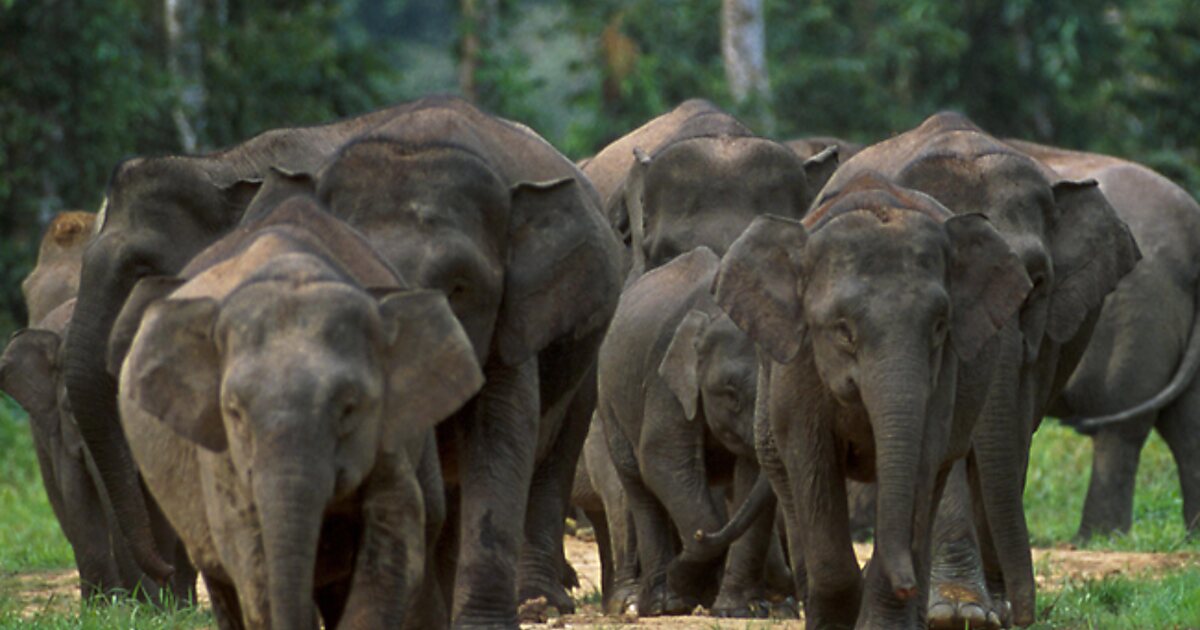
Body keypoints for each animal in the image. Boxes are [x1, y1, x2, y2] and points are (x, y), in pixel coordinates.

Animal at [112, 192, 484, 629]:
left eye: (350, 408)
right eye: (234, 411)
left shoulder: (388, 435)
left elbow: (393, 544)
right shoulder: (219, 452)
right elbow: (252, 561)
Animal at [596, 246, 796, 617]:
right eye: (730, 393)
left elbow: (750, 478)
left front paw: (737, 610)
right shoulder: (664, 383)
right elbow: (661, 460)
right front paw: (684, 591)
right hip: (608, 402)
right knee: (638, 485)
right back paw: (661, 604)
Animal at [711, 171, 1033, 628]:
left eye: (939, 326)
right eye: (843, 329)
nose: (906, 583)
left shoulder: (943, 376)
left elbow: (921, 462)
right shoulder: (800, 363)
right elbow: (812, 461)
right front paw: (836, 618)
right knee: (782, 471)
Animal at [818, 113, 1139, 628]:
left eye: (1037, 283)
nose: (1025, 612)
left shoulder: (1045, 342)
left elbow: (1008, 432)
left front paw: (986, 611)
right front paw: (954, 612)